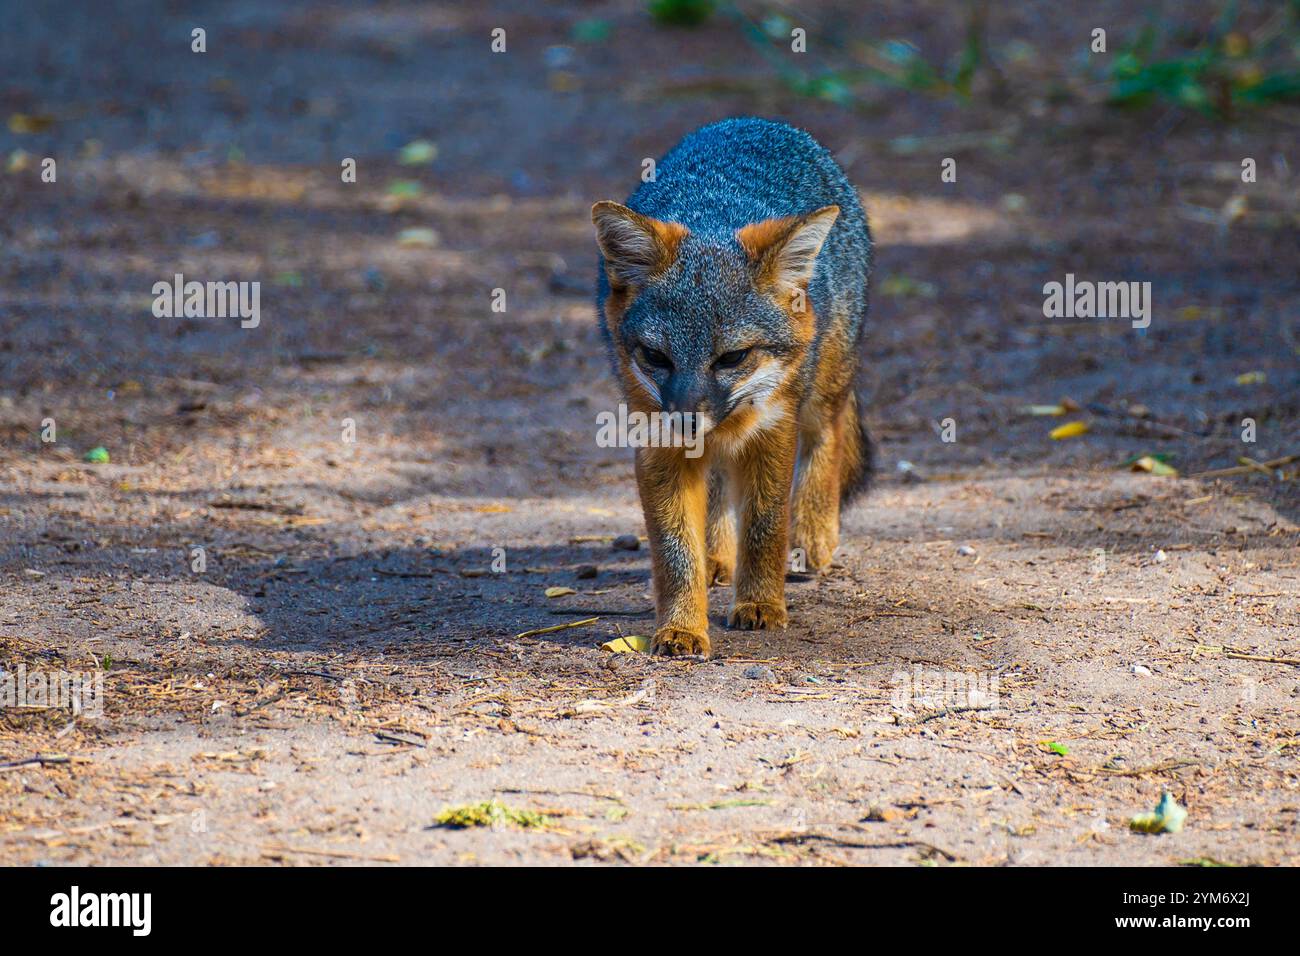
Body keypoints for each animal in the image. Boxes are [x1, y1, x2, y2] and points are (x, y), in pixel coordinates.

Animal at [591, 117, 873, 657]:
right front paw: (681, 627)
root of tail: (750, 121)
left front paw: (761, 604)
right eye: (656, 357)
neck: (714, 215)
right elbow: (675, 550)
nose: (684, 418)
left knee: (826, 434)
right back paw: (717, 557)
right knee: (719, 480)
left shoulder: (773, 431)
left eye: (732, 358)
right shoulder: (657, 443)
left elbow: (764, 526)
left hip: (822, 384)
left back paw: (811, 533)